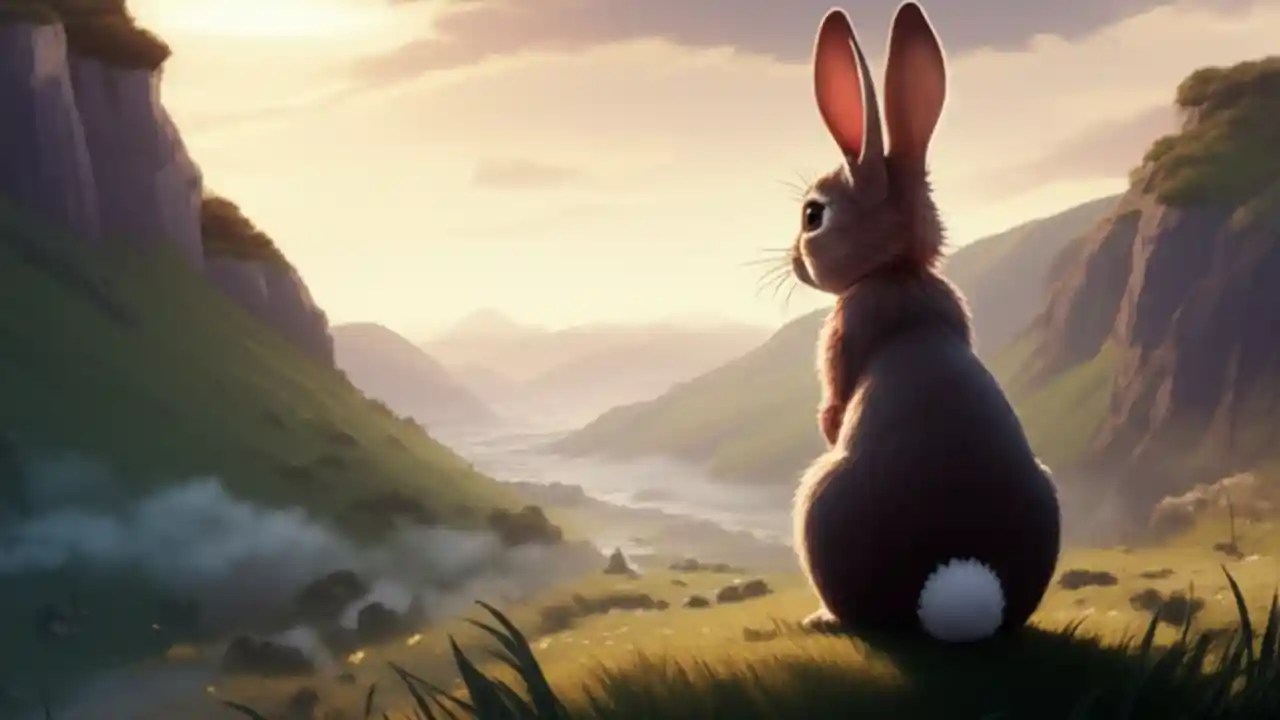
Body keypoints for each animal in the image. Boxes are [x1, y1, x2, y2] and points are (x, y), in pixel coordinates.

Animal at [789, 2, 1061, 642]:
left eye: (813, 215)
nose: (792, 260)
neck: (896, 269)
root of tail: (954, 581)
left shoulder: (848, 333)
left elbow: (836, 397)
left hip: (815, 503)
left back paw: (820, 619)